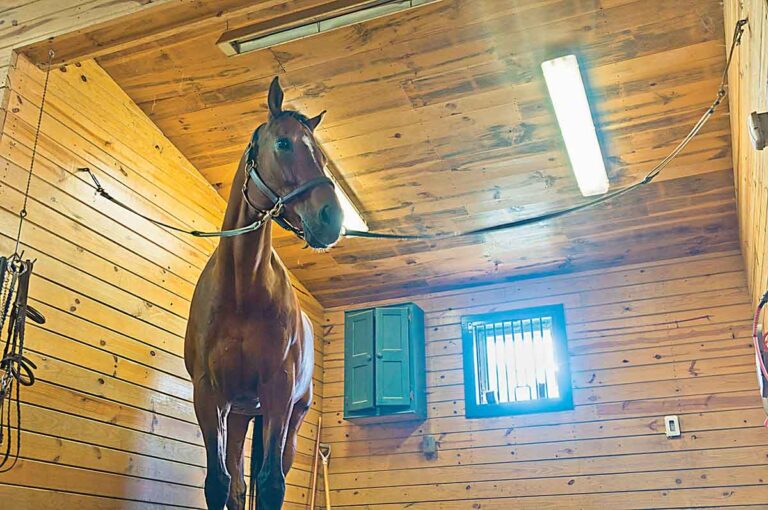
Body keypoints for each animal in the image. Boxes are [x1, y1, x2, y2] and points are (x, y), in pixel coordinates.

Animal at [184, 76, 343, 510]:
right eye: (284, 143)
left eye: (323, 158)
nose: (333, 218)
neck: (242, 289)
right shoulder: (210, 396)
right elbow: (219, 483)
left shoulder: (278, 393)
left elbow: (272, 483)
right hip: (240, 414)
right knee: (238, 487)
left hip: (292, 417)